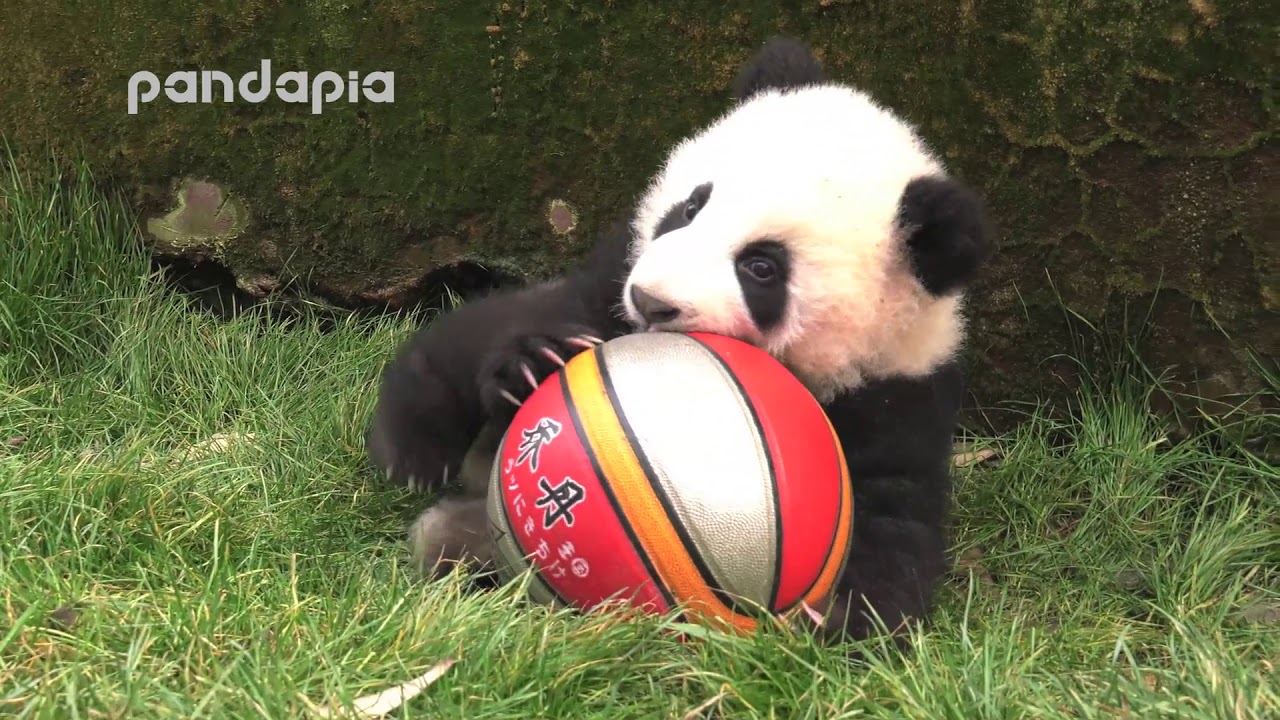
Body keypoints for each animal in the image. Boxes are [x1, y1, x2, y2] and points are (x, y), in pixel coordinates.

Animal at [365, 35, 993, 647]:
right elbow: (519, 327)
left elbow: (892, 519)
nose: (651, 301)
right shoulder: (608, 286)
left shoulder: (898, 394)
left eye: (761, 267)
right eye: (691, 206)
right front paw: (528, 367)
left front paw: (839, 624)